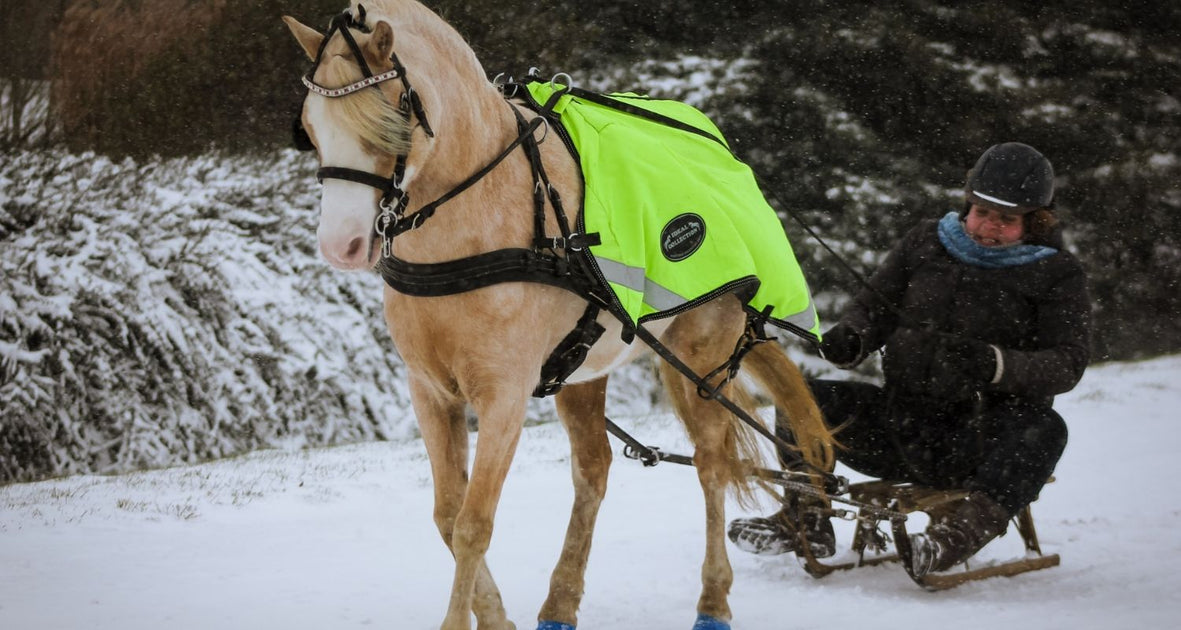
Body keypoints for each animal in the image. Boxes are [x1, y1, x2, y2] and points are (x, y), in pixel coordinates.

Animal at [283, 2, 834, 628]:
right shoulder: (431, 391)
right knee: (594, 469)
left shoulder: (504, 395)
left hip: (700, 353)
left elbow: (474, 524)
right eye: (309, 127)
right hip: (581, 367)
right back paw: (561, 601)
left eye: (389, 118)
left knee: (711, 465)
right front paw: (497, 618)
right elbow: (448, 516)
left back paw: (713, 600)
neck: (477, 223)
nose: (341, 245)